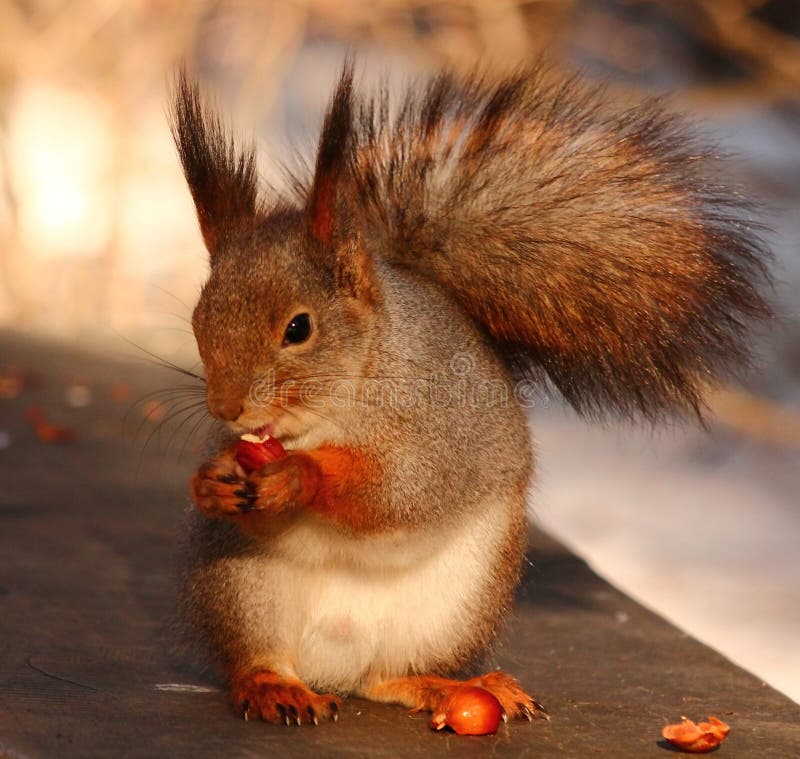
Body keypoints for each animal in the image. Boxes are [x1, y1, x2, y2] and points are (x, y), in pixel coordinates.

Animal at [171, 62, 771, 727]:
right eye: (198, 318)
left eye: (298, 328)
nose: (227, 409)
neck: (345, 393)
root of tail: (335, 667)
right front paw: (210, 479)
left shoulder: (440, 424)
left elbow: (404, 489)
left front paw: (302, 474)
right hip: (244, 588)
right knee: (261, 657)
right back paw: (273, 684)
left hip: (455, 601)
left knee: (389, 677)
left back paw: (453, 688)